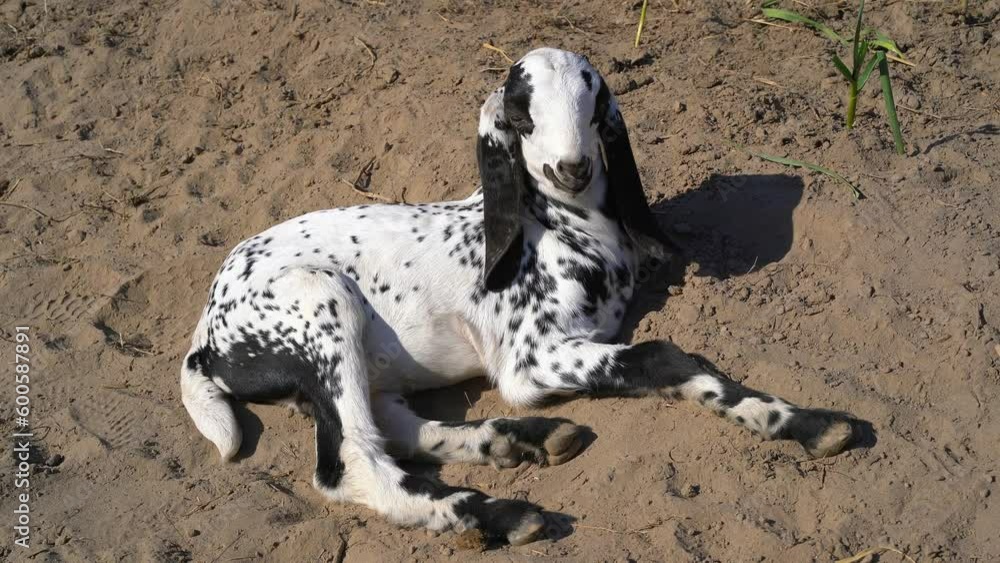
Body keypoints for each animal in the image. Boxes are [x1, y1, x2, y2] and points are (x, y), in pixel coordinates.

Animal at [180, 47, 857, 546]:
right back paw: (496, 514)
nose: (572, 168)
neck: (556, 225)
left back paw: (517, 441)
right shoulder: (529, 361)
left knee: (392, 426)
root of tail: (206, 336)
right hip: (321, 305)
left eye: (593, 101)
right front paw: (797, 421)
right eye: (522, 113)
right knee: (352, 459)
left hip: (362, 367)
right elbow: (663, 354)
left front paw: (803, 420)